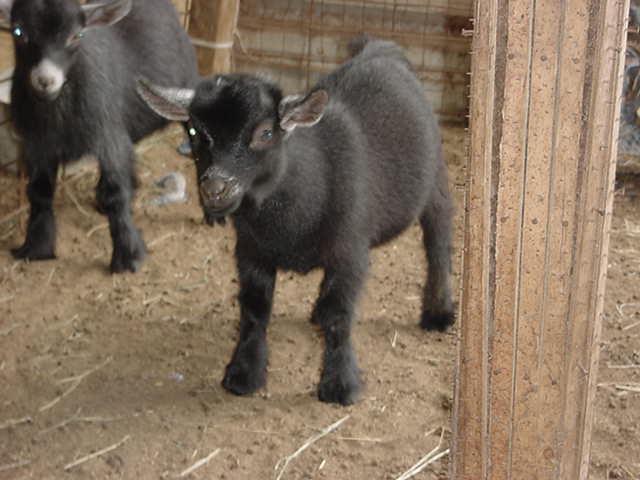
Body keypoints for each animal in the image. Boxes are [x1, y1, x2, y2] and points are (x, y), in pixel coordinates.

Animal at [1, 0, 198, 272]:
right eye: (19, 32)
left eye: (77, 35)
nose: (45, 80)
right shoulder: (38, 145)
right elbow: (39, 192)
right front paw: (36, 246)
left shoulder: (107, 133)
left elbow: (118, 194)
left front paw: (128, 257)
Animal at [137, 36, 455, 405]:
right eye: (194, 131)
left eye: (264, 133)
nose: (216, 188)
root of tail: (381, 48)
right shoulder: (251, 253)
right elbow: (255, 310)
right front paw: (244, 373)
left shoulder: (349, 253)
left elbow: (338, 314)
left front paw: (340, 384)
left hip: (436, 181)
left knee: (438, 242)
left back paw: (438, 312)